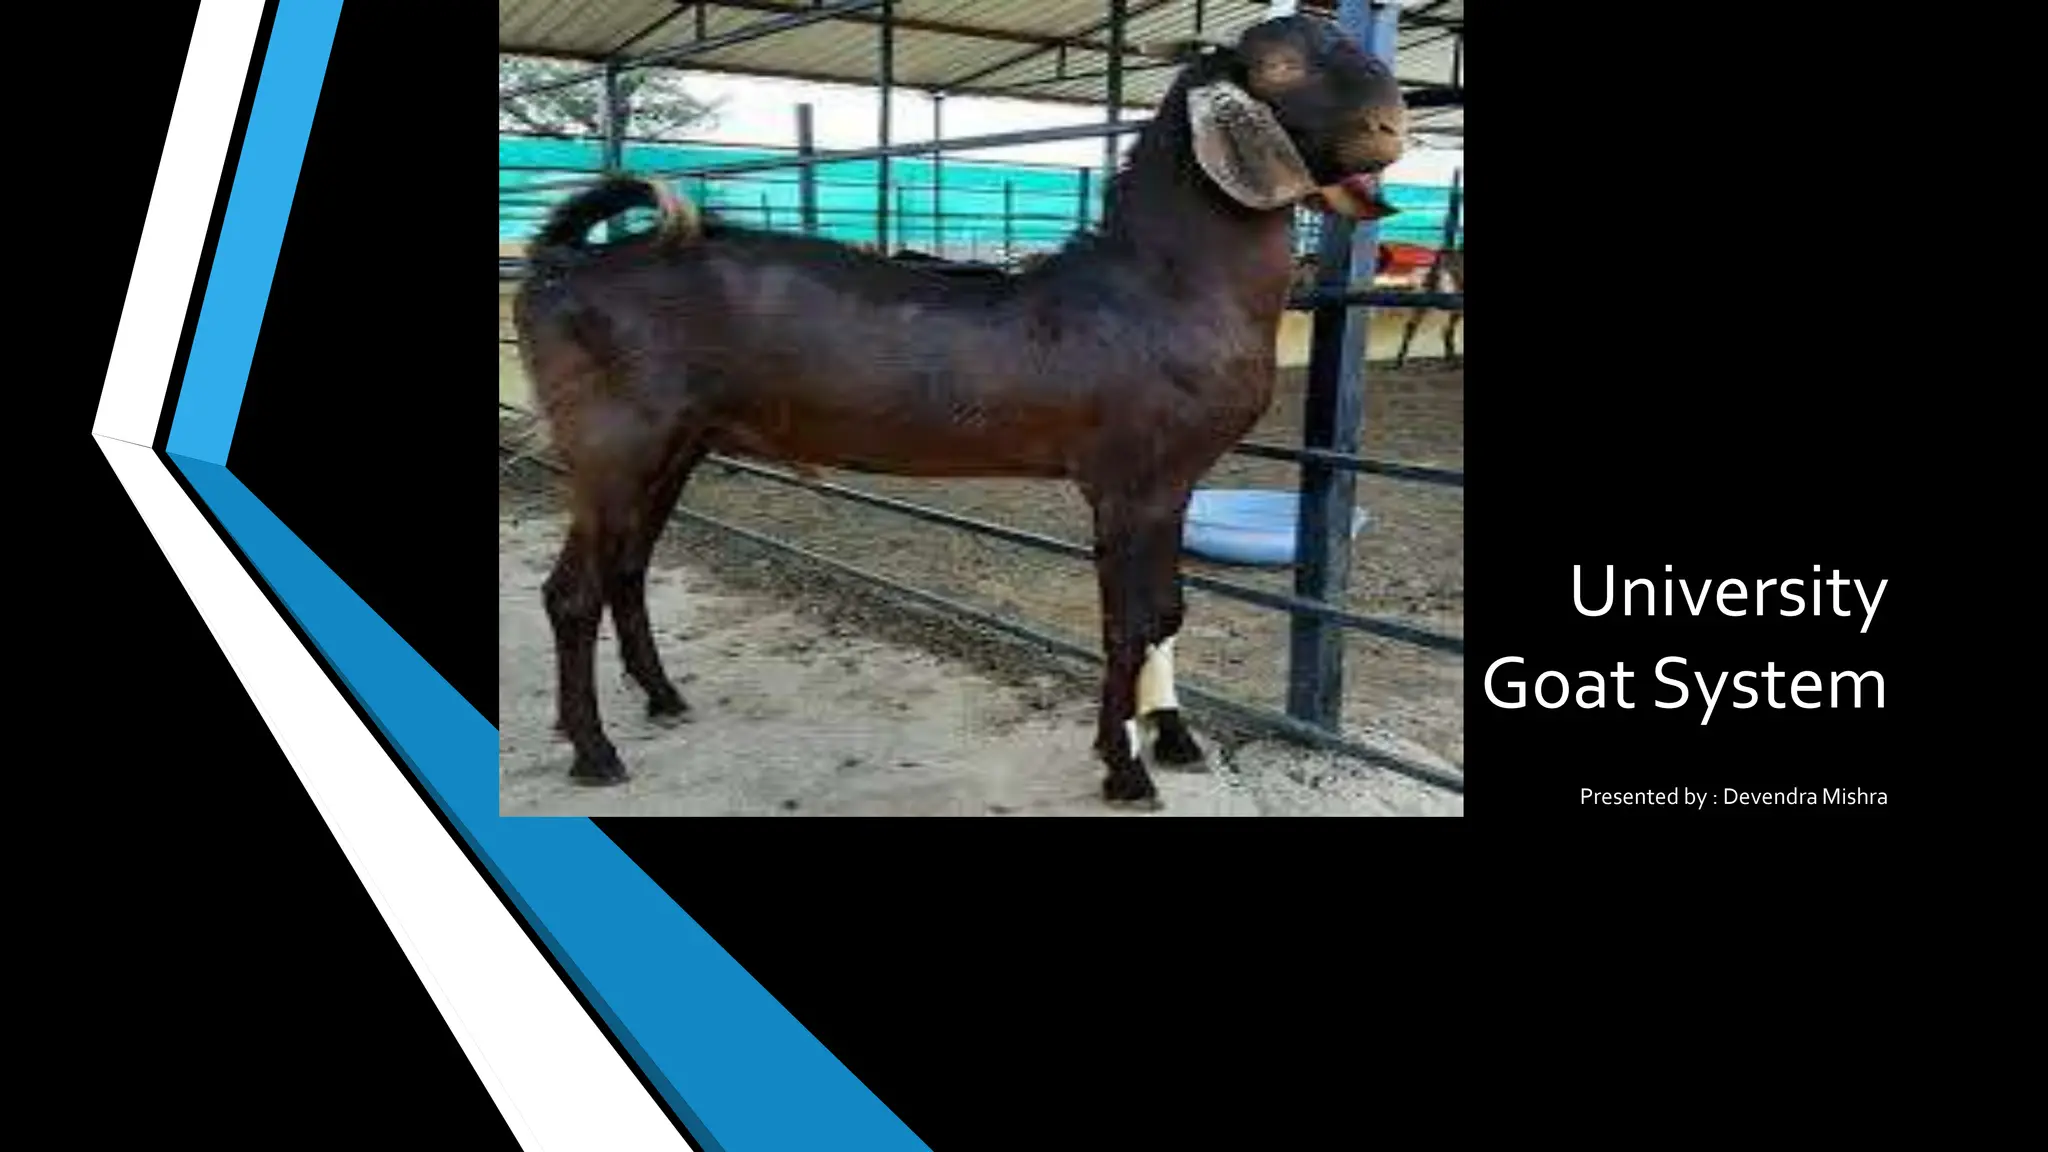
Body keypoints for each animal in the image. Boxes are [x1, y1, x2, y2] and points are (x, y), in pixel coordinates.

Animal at [512, 14, 1407, 806]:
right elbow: (1127, 622)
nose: (1392, 126)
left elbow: (1167, 613)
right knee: (572, 592)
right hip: (611, 440)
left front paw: (1178, 742)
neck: (1156, 287)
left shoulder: (1174, 481)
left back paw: (663, 697)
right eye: (1281, 64)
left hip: (678, 443)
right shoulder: (1126, 481)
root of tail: (562, 265)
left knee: (627, 569)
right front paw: (1125, 770)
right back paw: (595, 751)